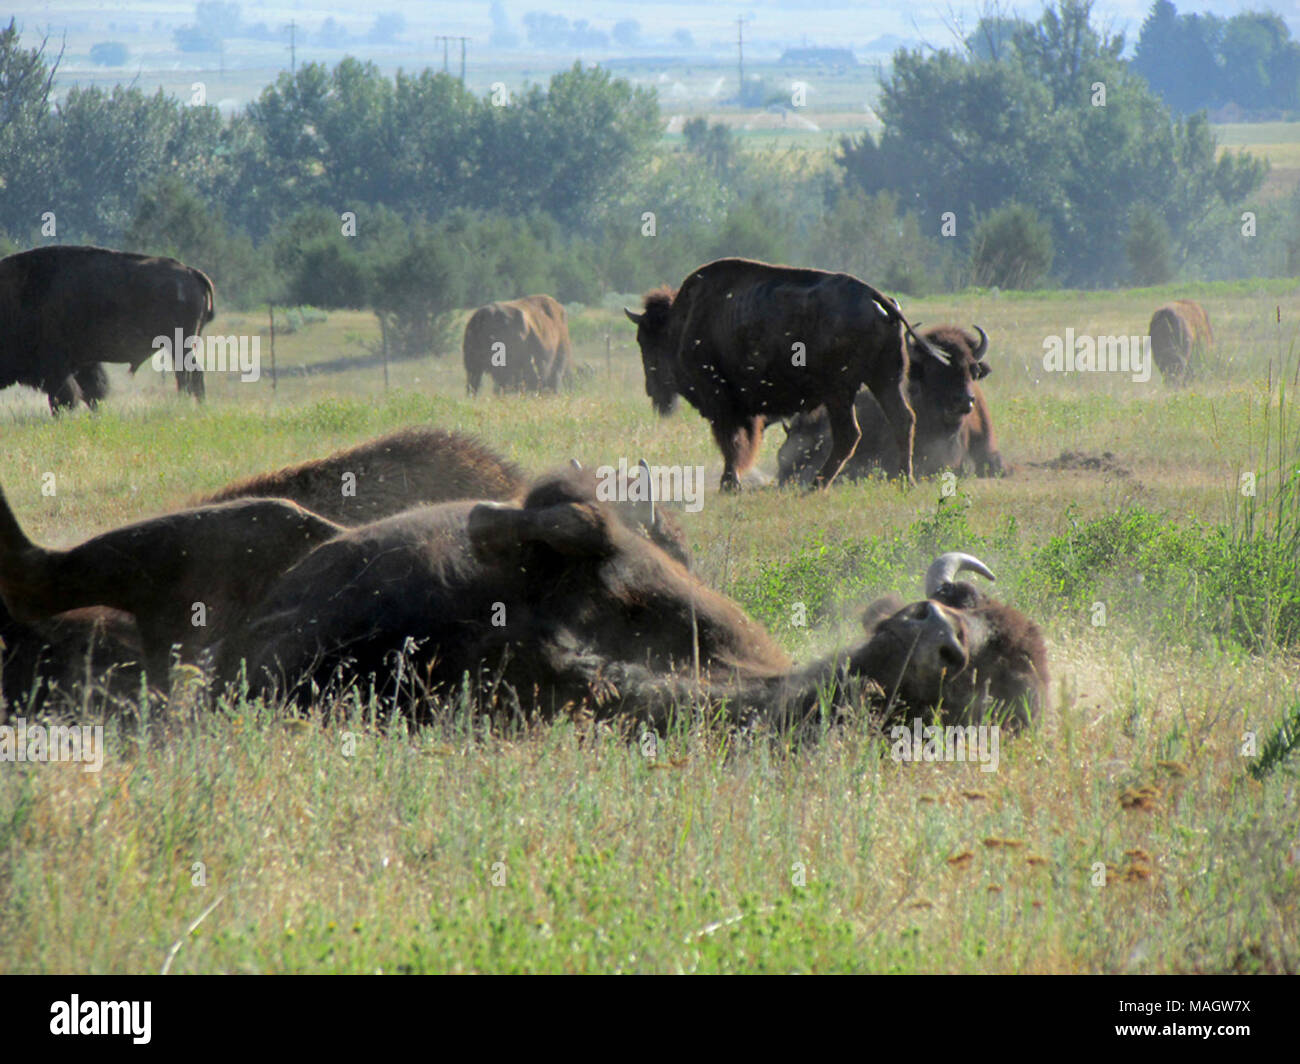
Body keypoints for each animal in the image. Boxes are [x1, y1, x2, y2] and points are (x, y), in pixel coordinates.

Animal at [0, 245, 215, 411]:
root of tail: (190, 271)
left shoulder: (56, 366)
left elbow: (65, 397)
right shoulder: (83, 364)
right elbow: (93, 392)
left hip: (179, 344)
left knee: (188, 375)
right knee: (189, 375)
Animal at [625, 258, 945, 490]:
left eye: (646, 341)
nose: (652, 391)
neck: (683, 320)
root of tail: (877, 297)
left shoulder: (721, 401)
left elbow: (731, 443)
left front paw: (729, 484)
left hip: (840, 392)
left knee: (849, 433)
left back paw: (817, 485)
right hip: (885, 380)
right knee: (902, 419)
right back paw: (904, 479)